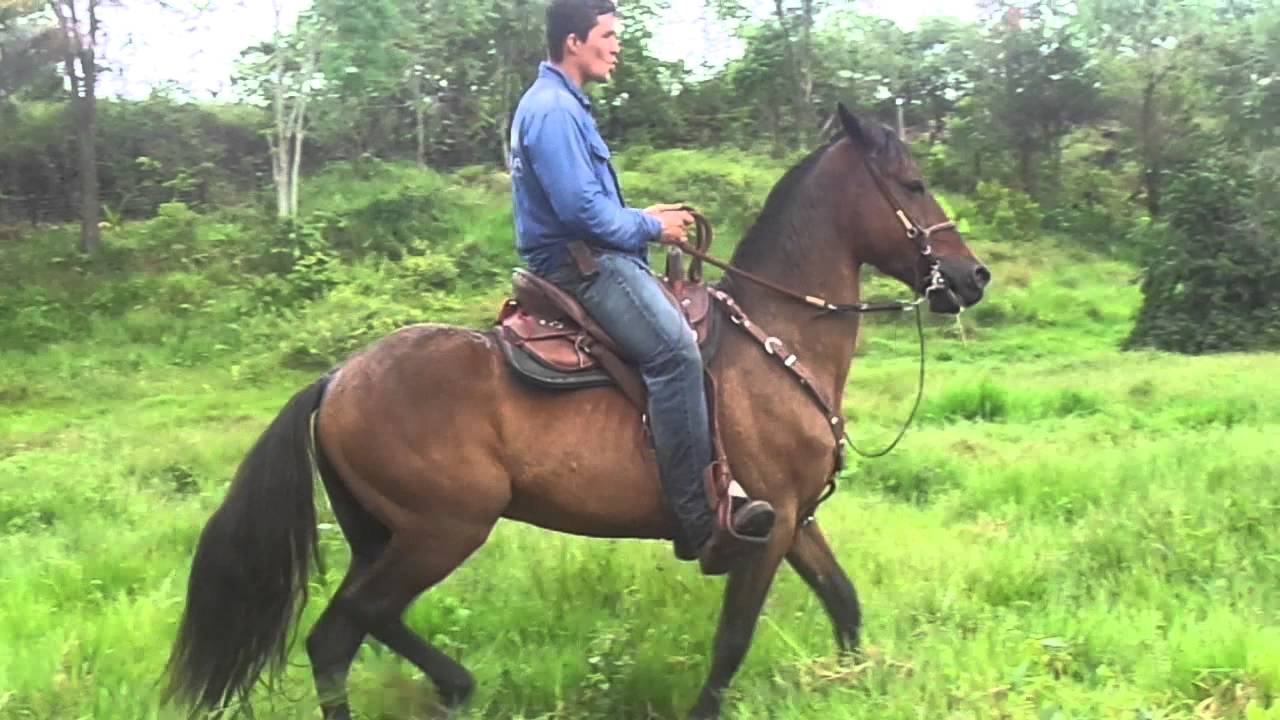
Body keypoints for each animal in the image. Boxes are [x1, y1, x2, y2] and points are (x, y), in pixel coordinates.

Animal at [164, 104, 989, 720]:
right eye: (913, 183)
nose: (971, 276)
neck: (777, 340)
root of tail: (336, 378)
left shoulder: (796, 518)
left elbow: (843, 603)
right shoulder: (769, 525)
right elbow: (732, 642)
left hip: (385, 536)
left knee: (359, 625)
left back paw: (455, 685)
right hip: (443, 529)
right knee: (342, 633)